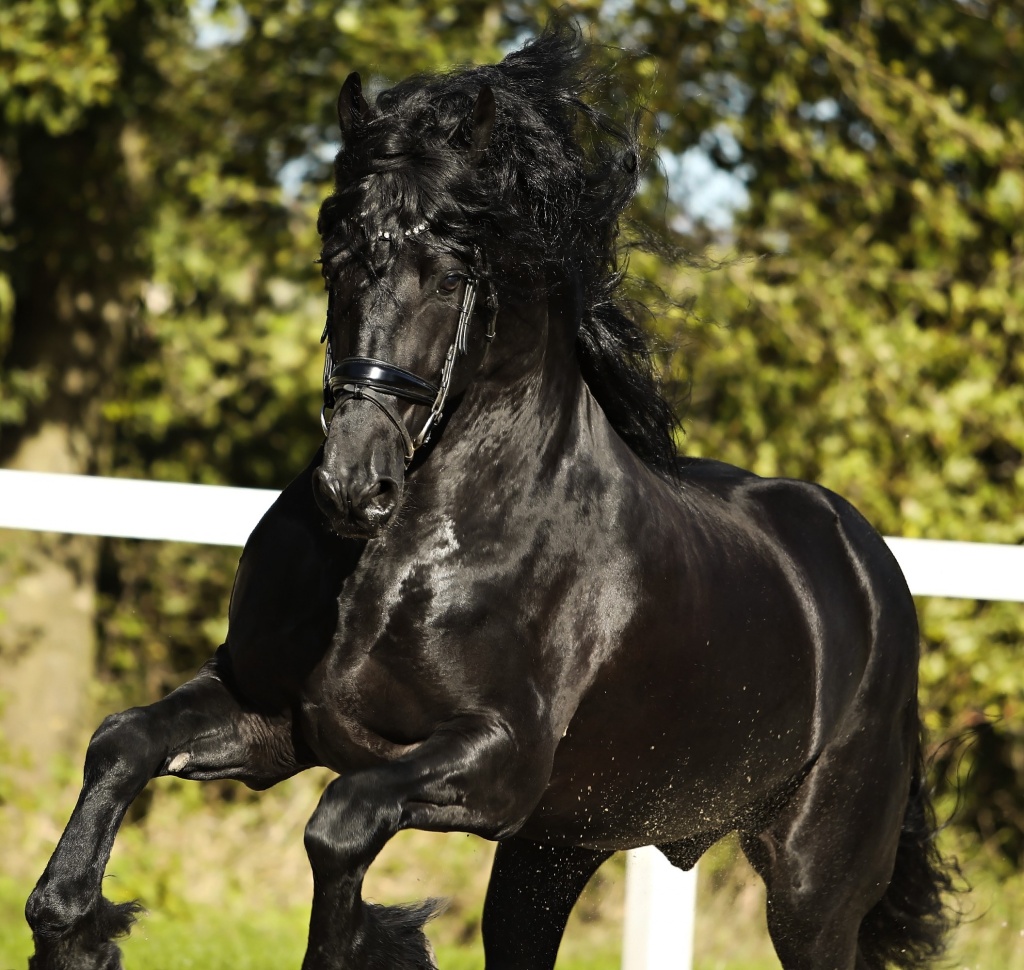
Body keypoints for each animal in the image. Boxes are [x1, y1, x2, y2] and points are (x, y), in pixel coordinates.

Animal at [26, 23, 955, 970]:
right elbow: (122, 739)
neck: (401, 559)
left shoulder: (496, 764)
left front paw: (375, 939)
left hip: (811, 886)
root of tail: (871, 567)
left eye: (448, 274)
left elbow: (341, 819)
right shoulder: (268, 719)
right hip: (555, 853)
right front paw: (72, 929)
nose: (352, 484)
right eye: (336, 258)